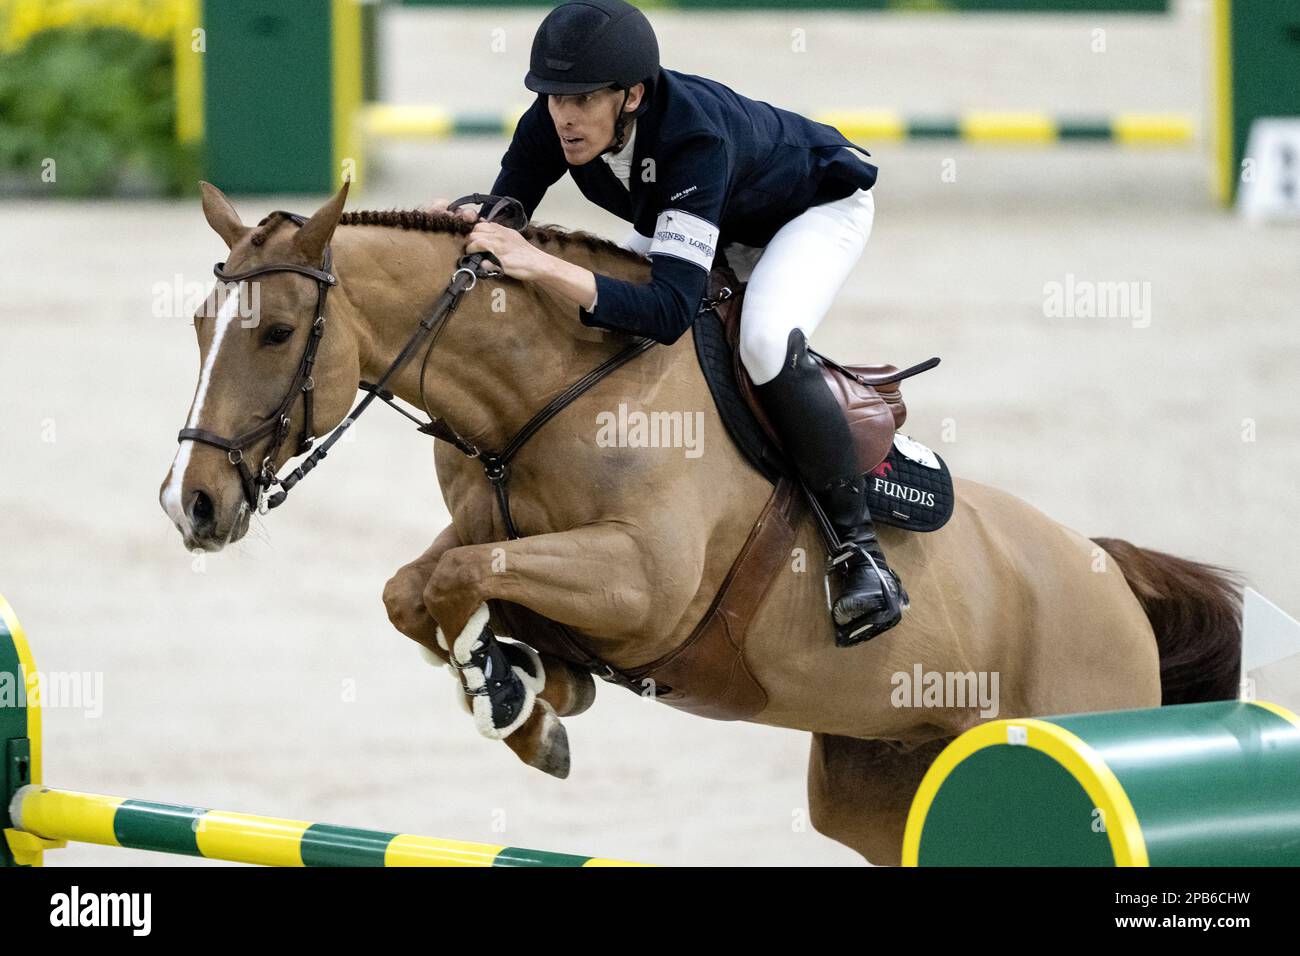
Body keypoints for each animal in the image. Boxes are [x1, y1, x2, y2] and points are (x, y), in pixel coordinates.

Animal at [159, 184, 1237, 868]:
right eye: (201, 326)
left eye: (277, 333)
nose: (190, 502)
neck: (541, 398)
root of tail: (1113, 577)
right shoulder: (492, 533)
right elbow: (419, 585)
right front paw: (529, 685)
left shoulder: (643, 585)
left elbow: (457, 580)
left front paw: (516, 696)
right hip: (876, 784)